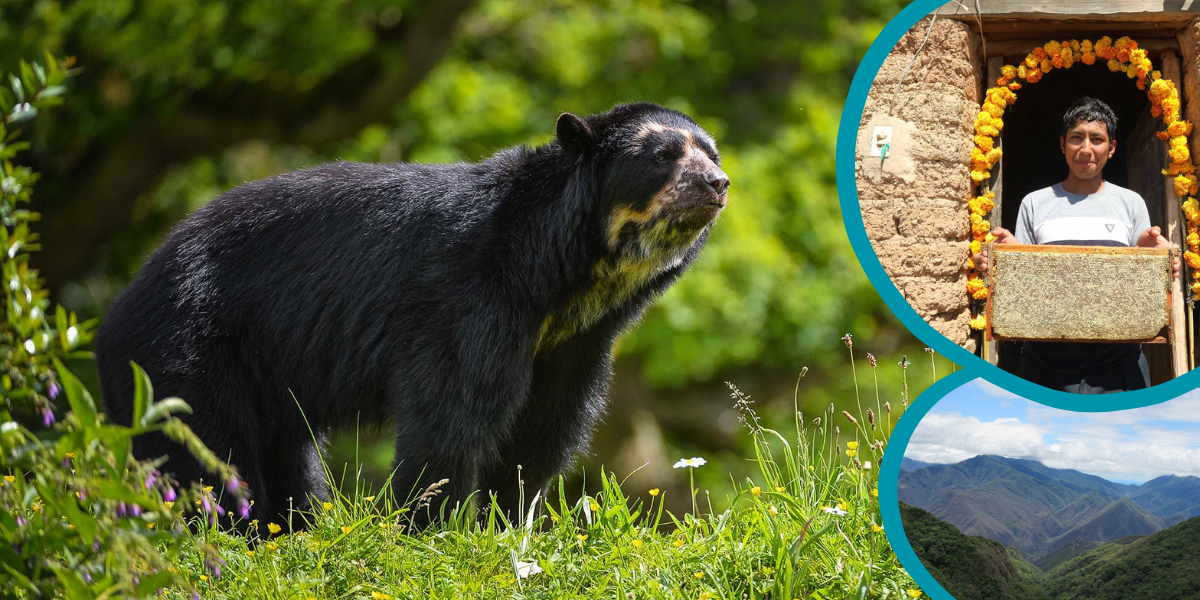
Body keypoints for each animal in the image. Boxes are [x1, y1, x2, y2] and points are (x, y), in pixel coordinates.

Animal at [94, 102, 730, 528]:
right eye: (664, 156)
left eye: (711, 152)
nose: (719, 184)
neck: (567, 278)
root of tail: (117, 309)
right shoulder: (465, 297)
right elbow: (450, 416)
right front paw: (432, 526)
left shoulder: (574, 342)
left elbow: (543, 431)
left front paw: (510, 523)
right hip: (185, 349)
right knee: (207, 455)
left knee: (286, 458)